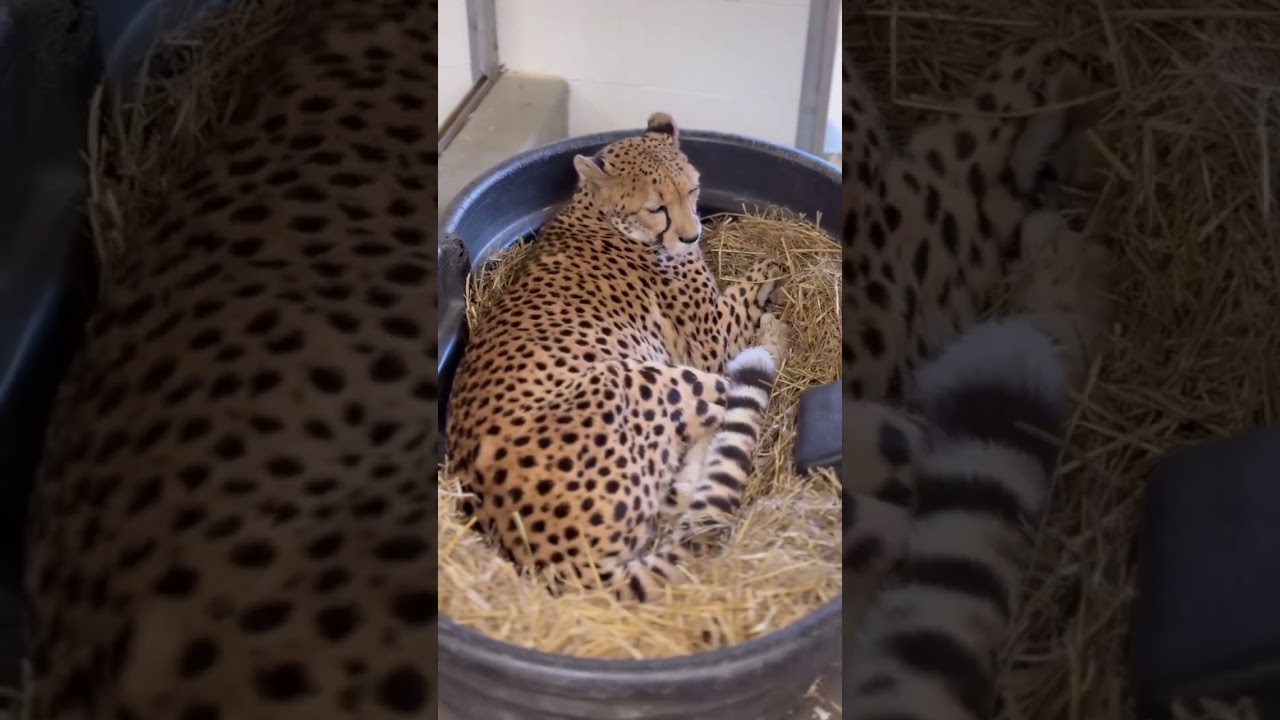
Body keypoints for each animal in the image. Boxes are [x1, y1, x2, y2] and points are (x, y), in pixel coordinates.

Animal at [444, 112, 790, 603]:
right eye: (656, 207)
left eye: (693, 191)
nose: (692, 235)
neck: (598, 211)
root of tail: (567, 568)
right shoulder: (712, 340)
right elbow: (748, 291)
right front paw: (771, 263)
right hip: (641, 376)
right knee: (733, 394)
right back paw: (775, 339)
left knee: (677, 494)